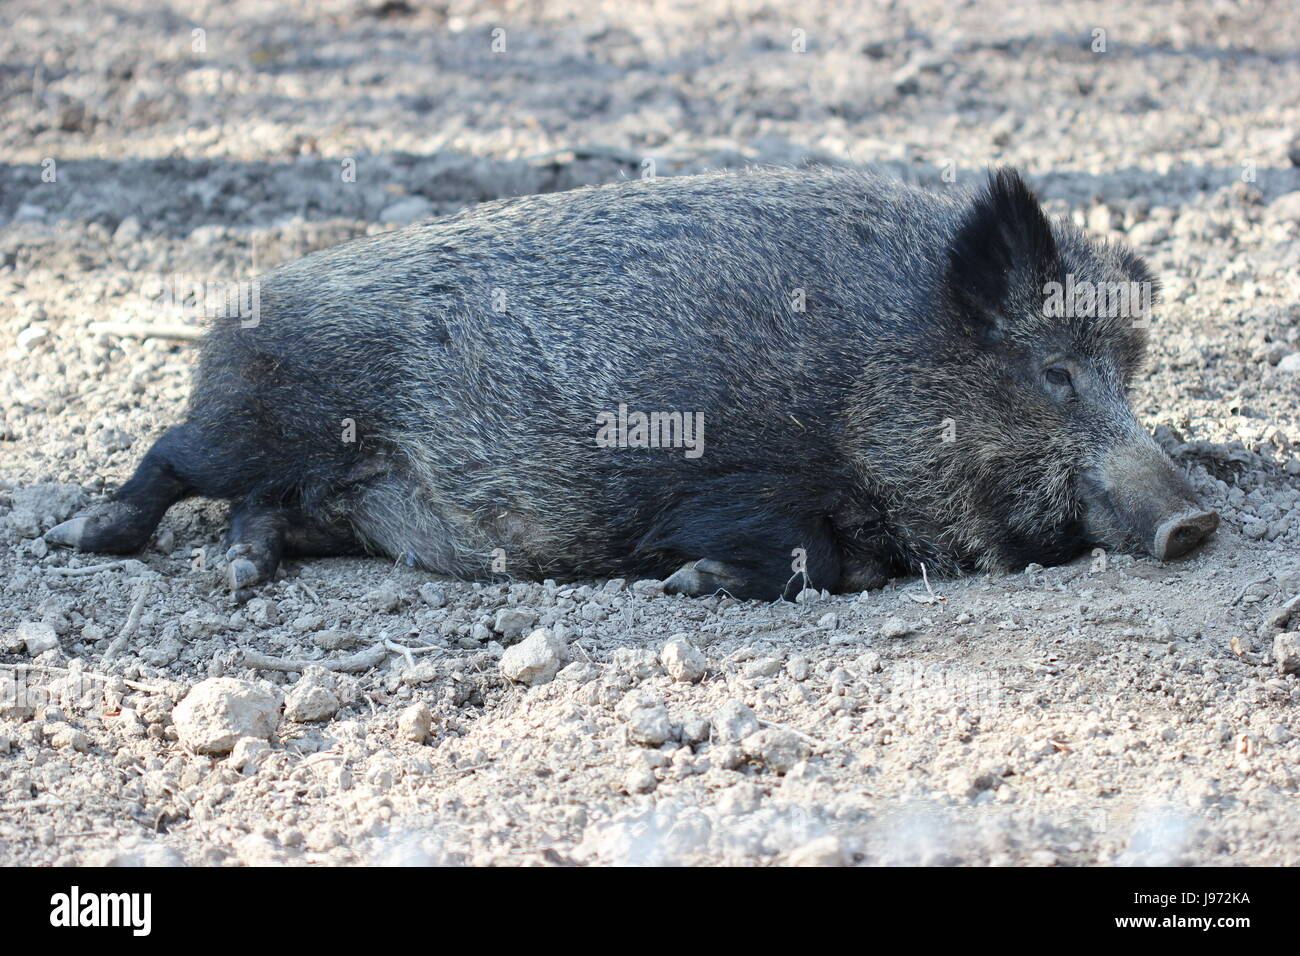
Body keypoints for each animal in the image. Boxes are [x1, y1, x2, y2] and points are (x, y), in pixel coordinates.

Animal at [46, 166, 1218, 600]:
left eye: (1129, 376)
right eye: (1054, 372)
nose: (1195, 520)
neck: (869, 375)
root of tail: (240, 309)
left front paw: (690, 580)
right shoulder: (736, 473)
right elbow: (796, 546)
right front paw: (684, 580)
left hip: (316, 488)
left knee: (260, 510)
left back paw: (239, 574)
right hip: (256, 415)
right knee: (171, 456)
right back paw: (86, 539)